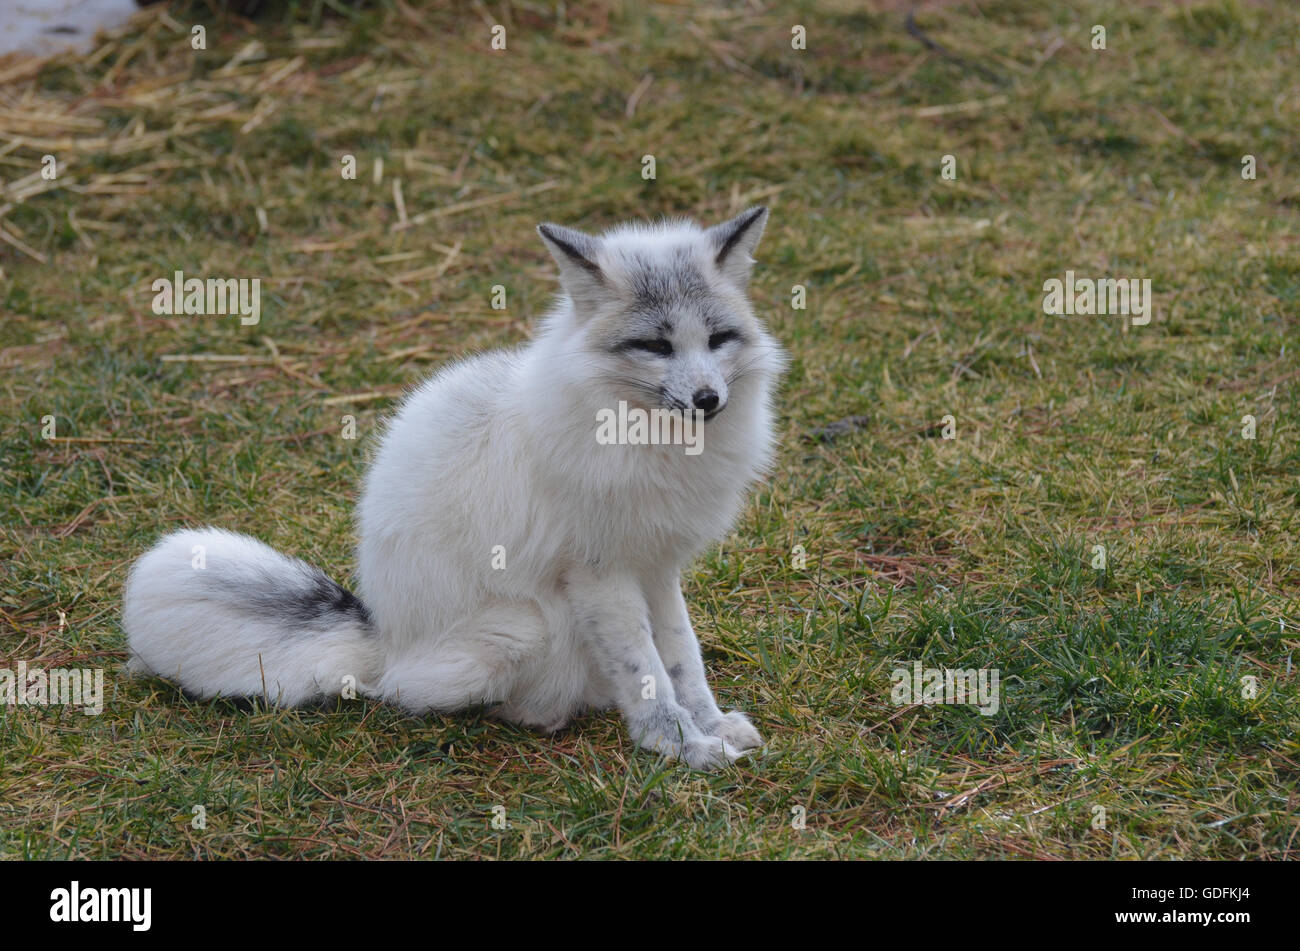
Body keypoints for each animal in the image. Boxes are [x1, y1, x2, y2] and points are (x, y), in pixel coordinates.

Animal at [123, 206, 786, 769]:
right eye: (654, 344)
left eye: (718, 339)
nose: (708, 399)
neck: (649, 442)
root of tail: (382, 633)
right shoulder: (600, 572)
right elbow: (645, 669)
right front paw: (677, 746)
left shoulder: (657, 564)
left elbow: (682, 655)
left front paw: (710, 725)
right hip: (528, 628)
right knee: (407, 692)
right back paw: (534, 715)